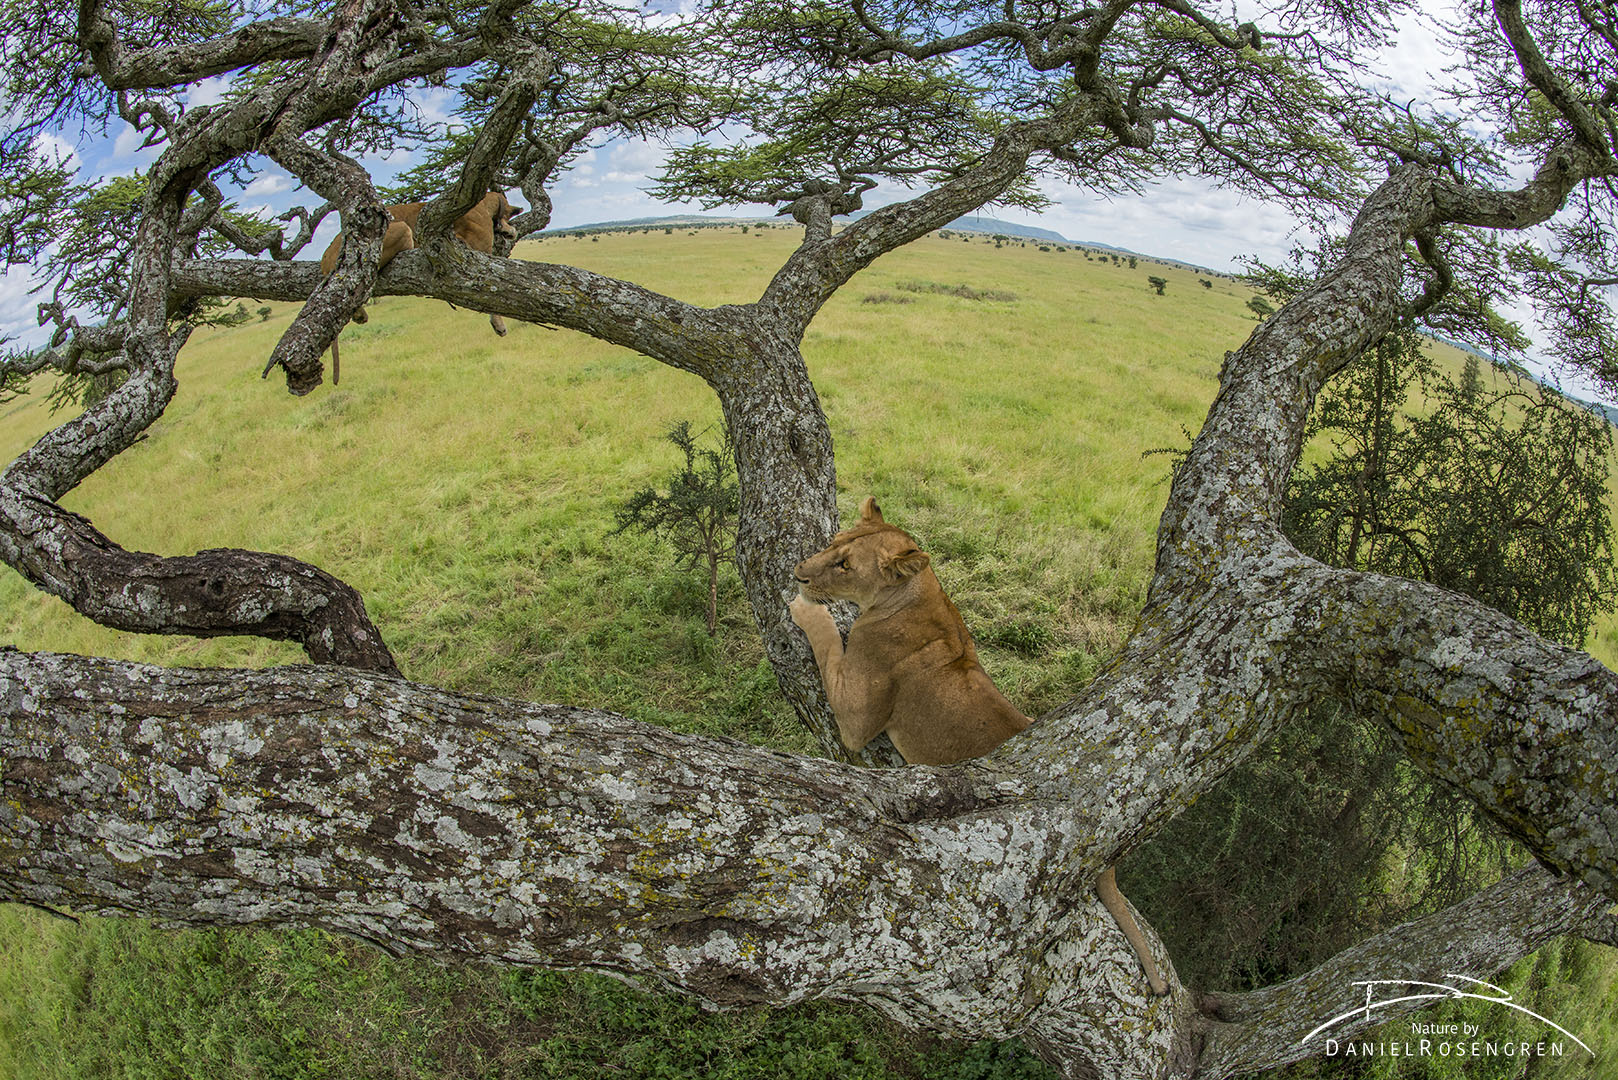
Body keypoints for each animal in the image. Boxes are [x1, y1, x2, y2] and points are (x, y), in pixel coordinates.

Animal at [317, 191, 523, 382]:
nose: (510, 229)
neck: (487, 204)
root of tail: (325, 258)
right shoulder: (473, 255)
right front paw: (498, 324)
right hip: (400, 229)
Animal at [789, 496, 1169, 996]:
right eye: (832, 543)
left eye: (845, 565)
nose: (798, 573)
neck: (920, 594)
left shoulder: (856, 715)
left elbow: (828, 637)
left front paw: (802, 606)